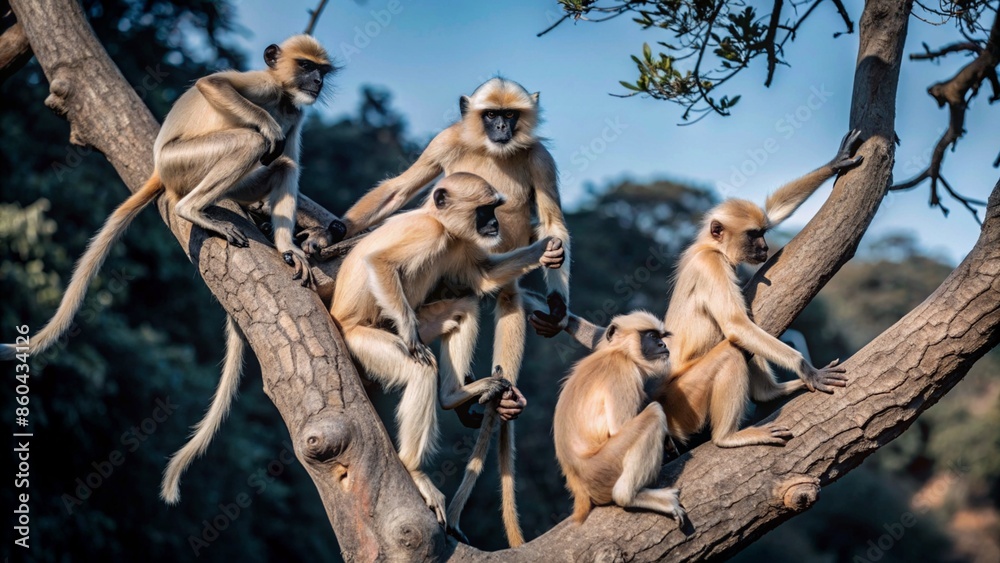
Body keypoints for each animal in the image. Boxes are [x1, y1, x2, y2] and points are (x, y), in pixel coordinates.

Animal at [340, 77, 569, 546]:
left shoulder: (535, 163)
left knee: (479, 303)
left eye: (510, 116)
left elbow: (534, 237)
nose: (500, 126)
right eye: (490, 115)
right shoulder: (435, 207)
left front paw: (549, 254)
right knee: (419, 364)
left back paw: (460, 396)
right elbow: (383, 248)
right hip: (365, 338)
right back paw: (417, 465)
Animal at [533, 130, 865, 449]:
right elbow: (734, 324)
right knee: (733, 346)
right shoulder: (711, 265)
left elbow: (774, 211)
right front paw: (807, 369)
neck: (710, 247)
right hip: (683, 401)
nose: (764, 247)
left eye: (763, 232)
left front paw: (836, 161)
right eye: (753, 235)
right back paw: (728, 436)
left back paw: (769, 394)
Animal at [553, 311, 686, 525]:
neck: (621, 353)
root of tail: (578, 483)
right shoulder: (621, 370)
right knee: (654, 412)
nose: (662, 345)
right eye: (652, 337)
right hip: (604, 465)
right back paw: (629, 496)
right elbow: (619, 428)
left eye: (660, 338)